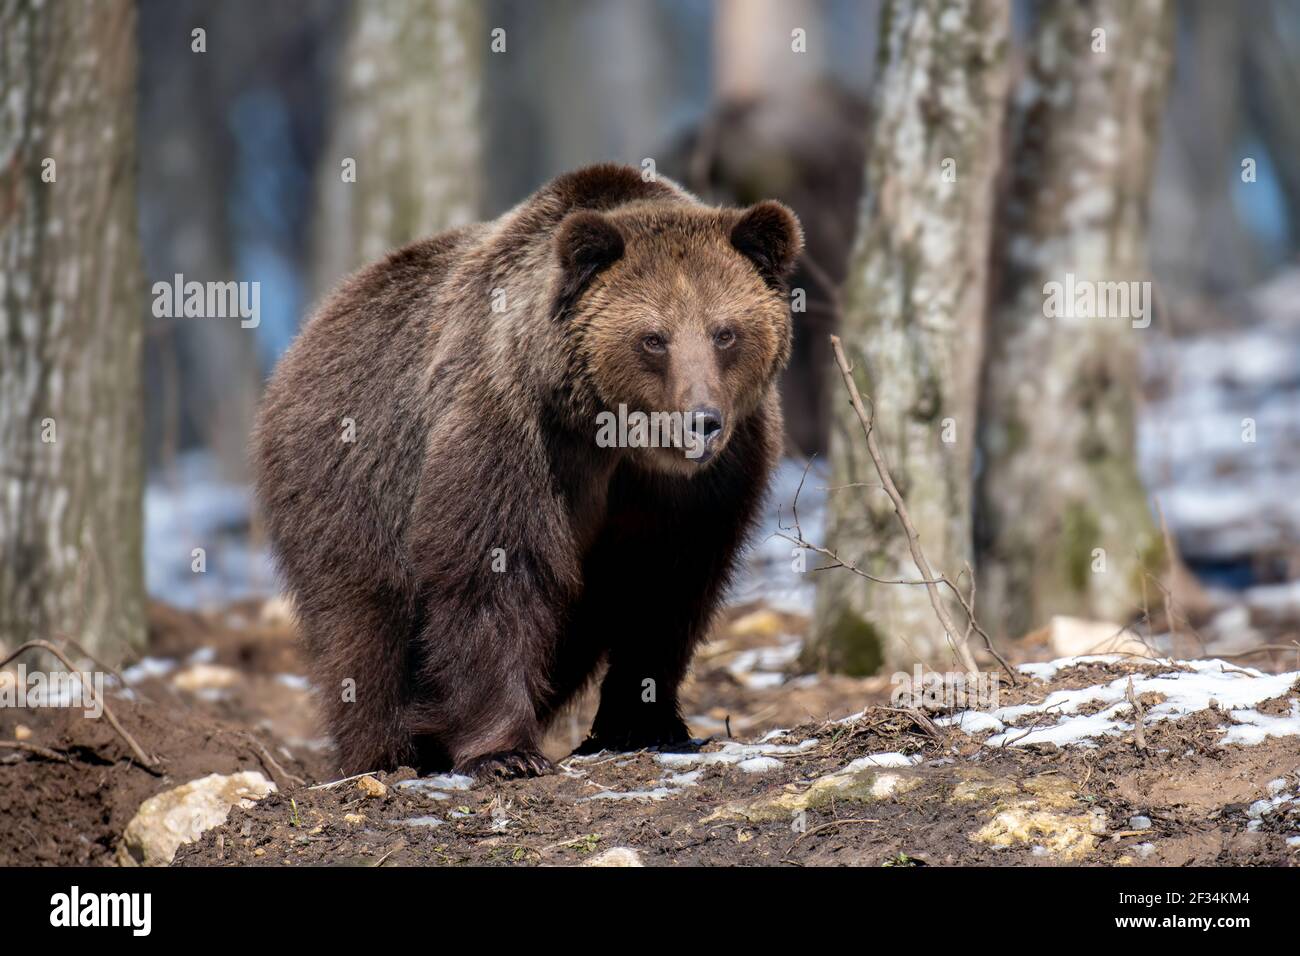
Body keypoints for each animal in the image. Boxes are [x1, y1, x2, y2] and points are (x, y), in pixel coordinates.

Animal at [253, 164, 802, 779]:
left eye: (724, 332)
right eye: (653, 338)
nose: (699, 423)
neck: (616, 441)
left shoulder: (709, 481)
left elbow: (669, 584)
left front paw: (645, 722)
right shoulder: (516, 431)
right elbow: (494, 566)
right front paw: (505, 752)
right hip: (352, 479)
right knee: (363, 626)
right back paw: (384, 753)